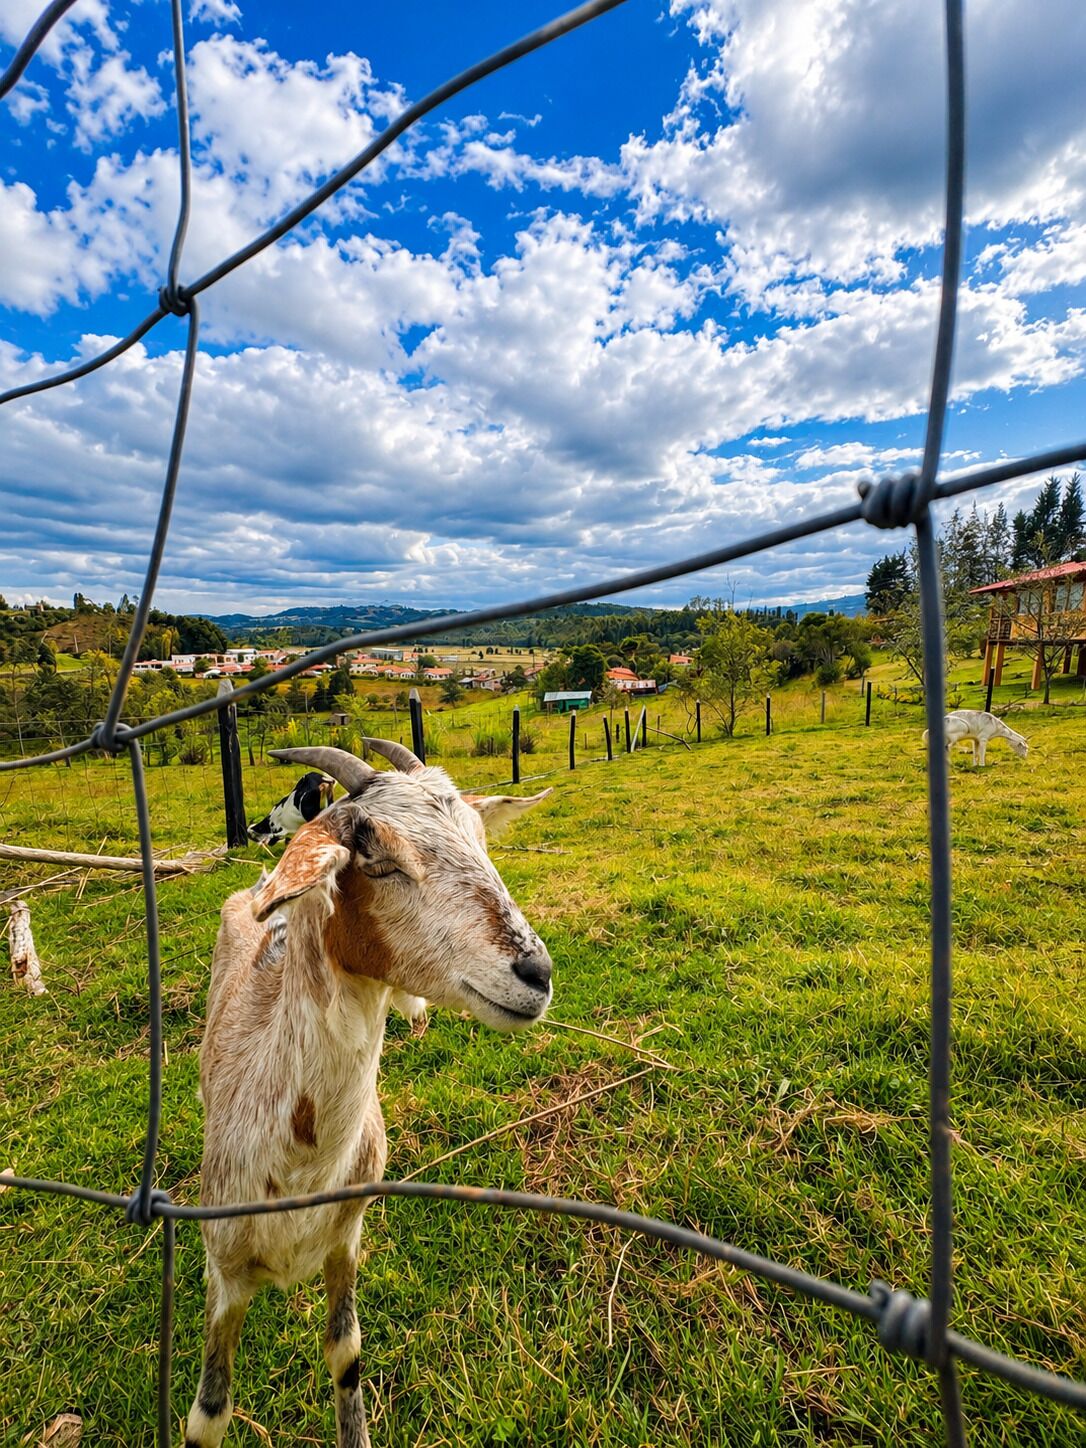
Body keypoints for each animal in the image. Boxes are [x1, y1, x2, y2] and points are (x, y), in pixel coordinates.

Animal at [185, 740, 553, 1448]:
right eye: (378, 858)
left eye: (479, 838)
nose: (537, 973)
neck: (300, 1168)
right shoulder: (225, 1275)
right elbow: (209, 1413)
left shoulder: (345, 1239)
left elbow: (346, 1355)